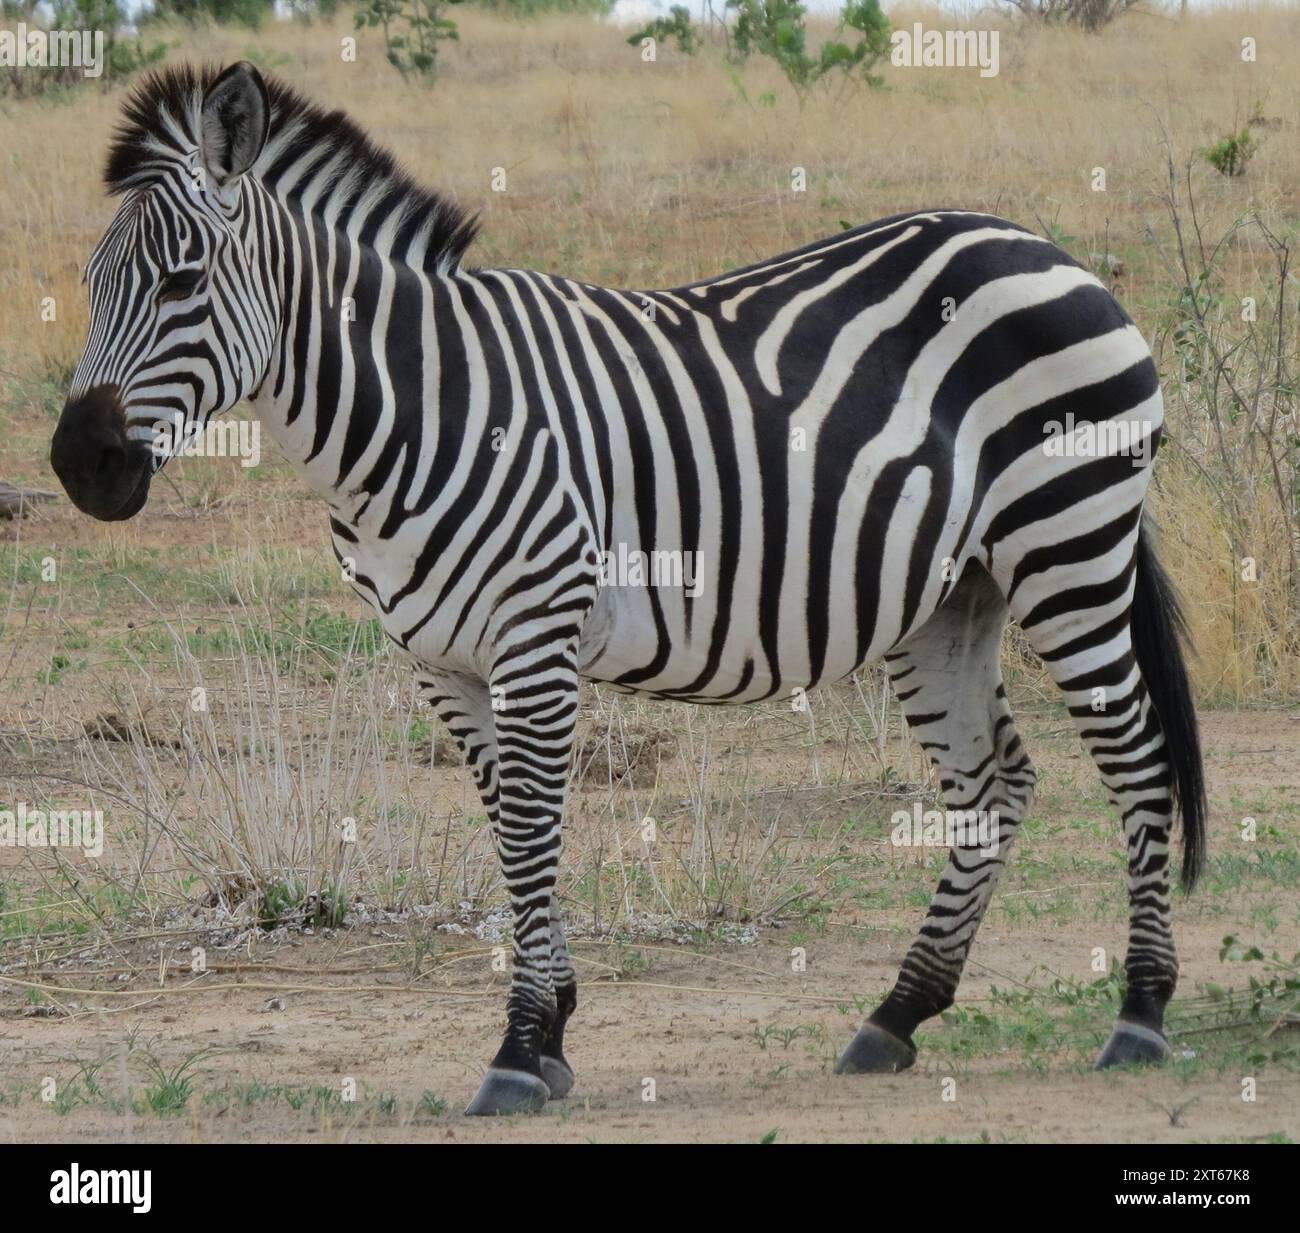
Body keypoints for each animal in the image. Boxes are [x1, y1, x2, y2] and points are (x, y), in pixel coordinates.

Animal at [51, 62, 1206, 1116]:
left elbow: (528, 828)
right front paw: (554, 1026)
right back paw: (896, 1015)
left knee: (1136, 760)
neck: (420, 410)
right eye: (93, 286)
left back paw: (1140, 1013)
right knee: (992, 784)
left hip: (1068, 546)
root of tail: (1041, 246)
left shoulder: (536, 634)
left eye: (182, 283)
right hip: (951, 597)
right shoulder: (439, 659)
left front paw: (521, 1049)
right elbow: (505, 824)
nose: (80, 466)